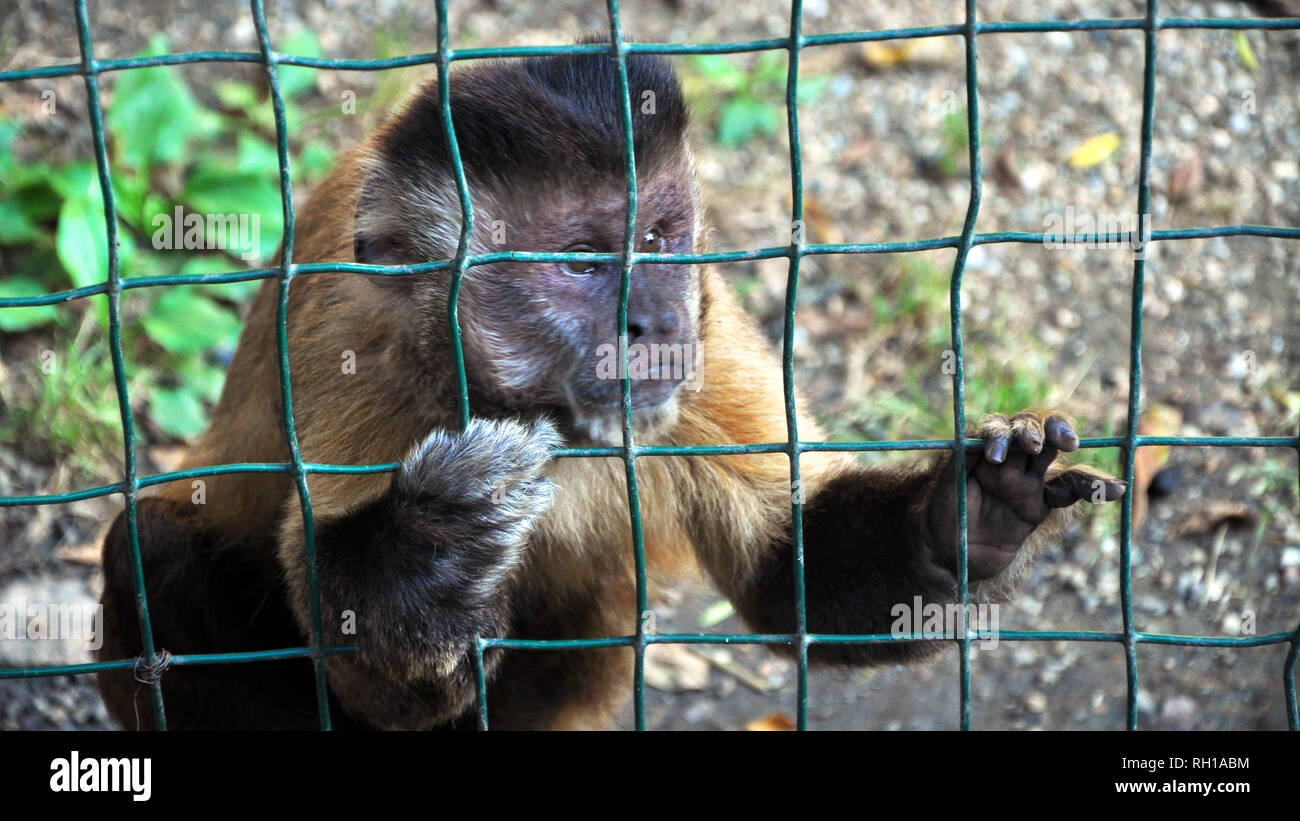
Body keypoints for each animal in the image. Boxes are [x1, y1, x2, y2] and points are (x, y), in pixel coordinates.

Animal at [95, 40, 1126, 731]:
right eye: (586, 263)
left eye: (661, 237)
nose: (655, 322)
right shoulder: (356, 342)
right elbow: (375, 672)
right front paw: (428, 552)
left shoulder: (707, 315)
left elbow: (786, 573)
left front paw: (976, 513)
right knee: (152, 551)